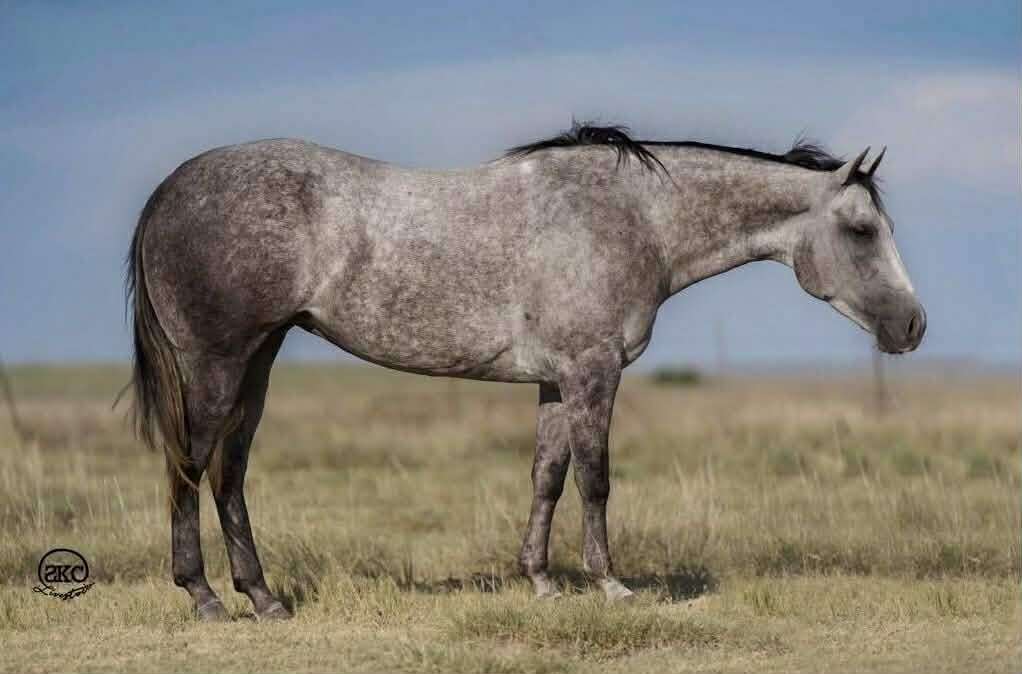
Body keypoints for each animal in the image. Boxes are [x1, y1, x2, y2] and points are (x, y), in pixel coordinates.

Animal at [127, 123, 925, 620]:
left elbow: (547, 475)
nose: (914, 326)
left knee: (229, 472)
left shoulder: (554, 382)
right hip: (217, 366)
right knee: (190, 466)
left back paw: (264, 598)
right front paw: (611, 585)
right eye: (862, 230)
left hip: (256, 365)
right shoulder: (593, 373)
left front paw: (540, 581)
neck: (633, 217)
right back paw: (204, 596)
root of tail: (170, 189)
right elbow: (596, 479)